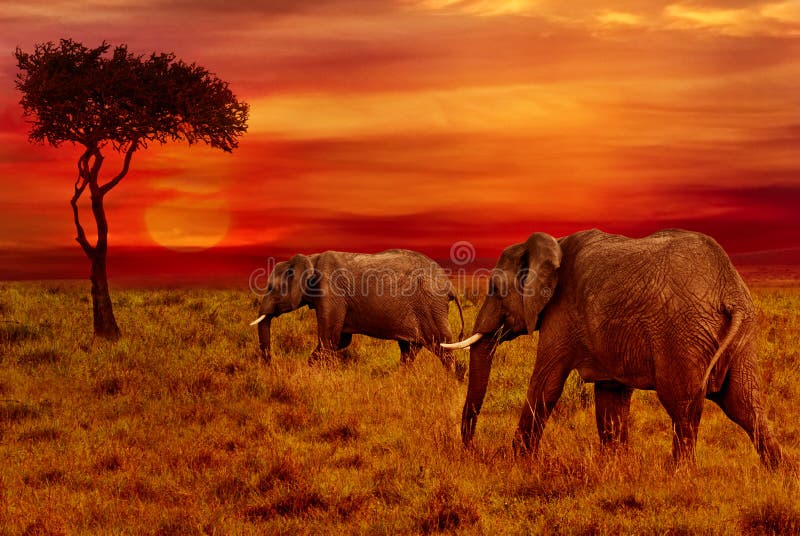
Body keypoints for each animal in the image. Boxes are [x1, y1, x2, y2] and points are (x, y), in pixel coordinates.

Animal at [250, 249, 464, 372]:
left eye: (271, 288)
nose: (270, 365)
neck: (311, 259)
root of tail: (449, 285)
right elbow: (340, 340)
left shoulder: (331, 293)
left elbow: (329, 338)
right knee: (409, 349)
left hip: (431, 306)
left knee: (442, 346)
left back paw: (450, 381)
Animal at [445, 229, 782, 468]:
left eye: (495, 289)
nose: (474, 450)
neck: (555, 244)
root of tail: (729, 290)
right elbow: (610, 398)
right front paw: (616, 466)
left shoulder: (561, 313)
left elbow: (546, 384)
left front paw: (516, 462)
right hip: (741, 336)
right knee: (744, 404)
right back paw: (778, 471)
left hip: (684, 332)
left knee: (683, 404)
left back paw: (679, 473)